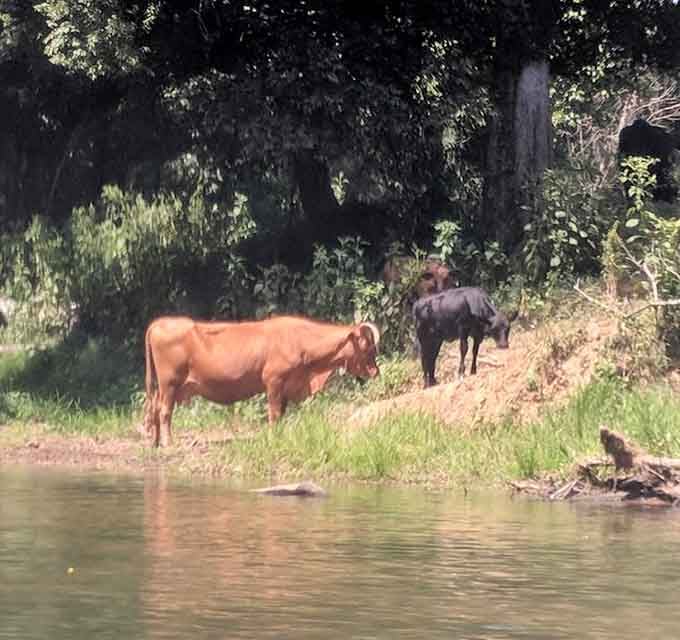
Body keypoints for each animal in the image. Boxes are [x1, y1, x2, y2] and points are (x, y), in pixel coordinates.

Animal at [142, 315, 380, 447]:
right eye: (367, 346)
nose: (375, 372)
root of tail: (160, 322)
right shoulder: (274, 380)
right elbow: (274, 413)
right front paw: (273, 436)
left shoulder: (287, 385)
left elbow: (281, 413)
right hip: (169, 382)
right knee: (165, 411)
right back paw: (168, 442)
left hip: (163, 387)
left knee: (154, 408)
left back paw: (155, 442)